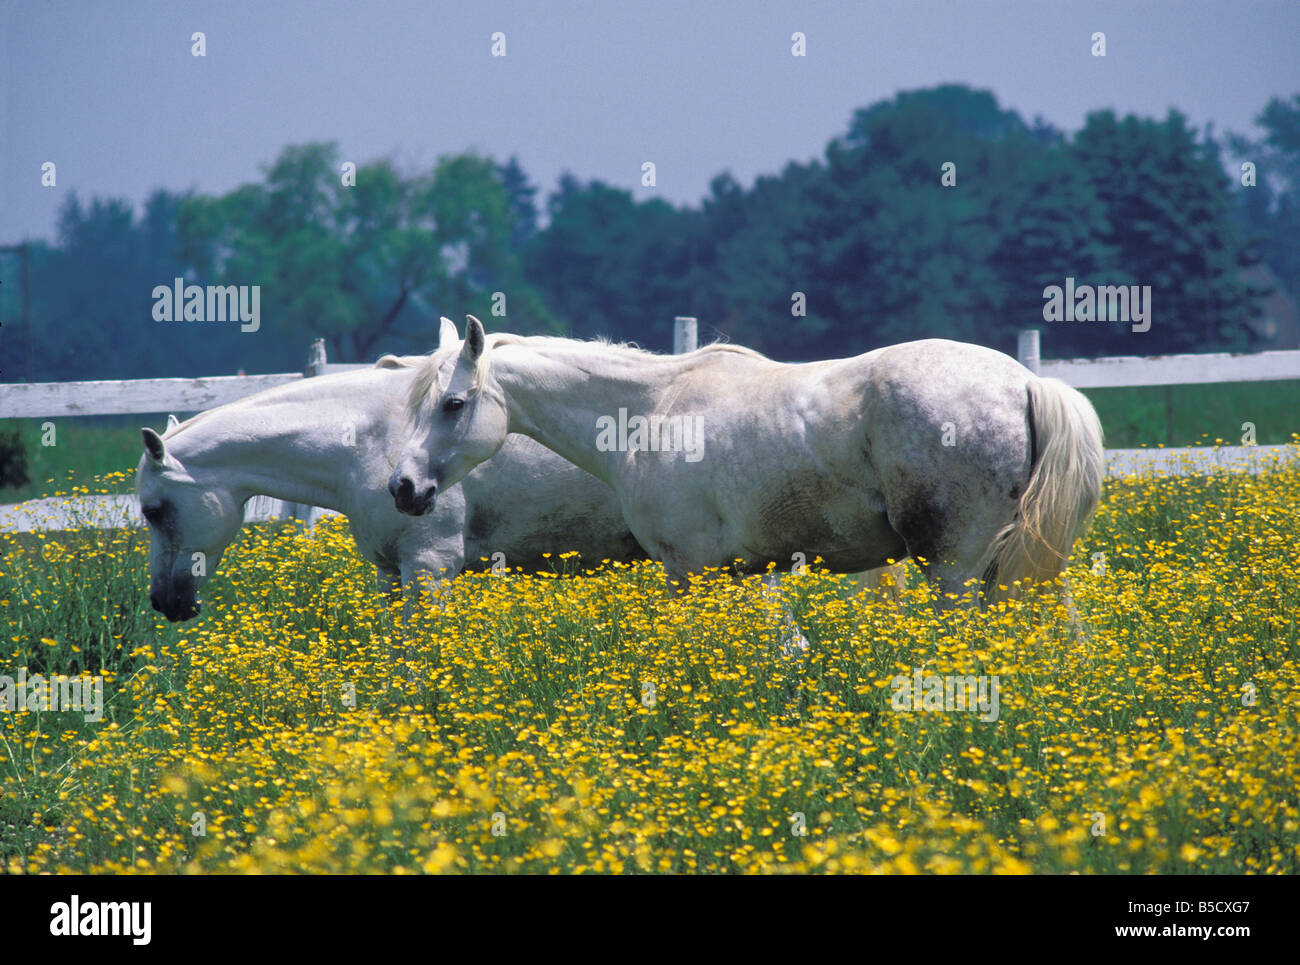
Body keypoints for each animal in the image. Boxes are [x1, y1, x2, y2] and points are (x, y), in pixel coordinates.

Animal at [391, 316, 1104, 608]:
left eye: (453, 403)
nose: (403, 487)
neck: (650, 410)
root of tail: (1025, 382)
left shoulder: (688, 571)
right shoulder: (736, 574)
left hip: (953, 569)